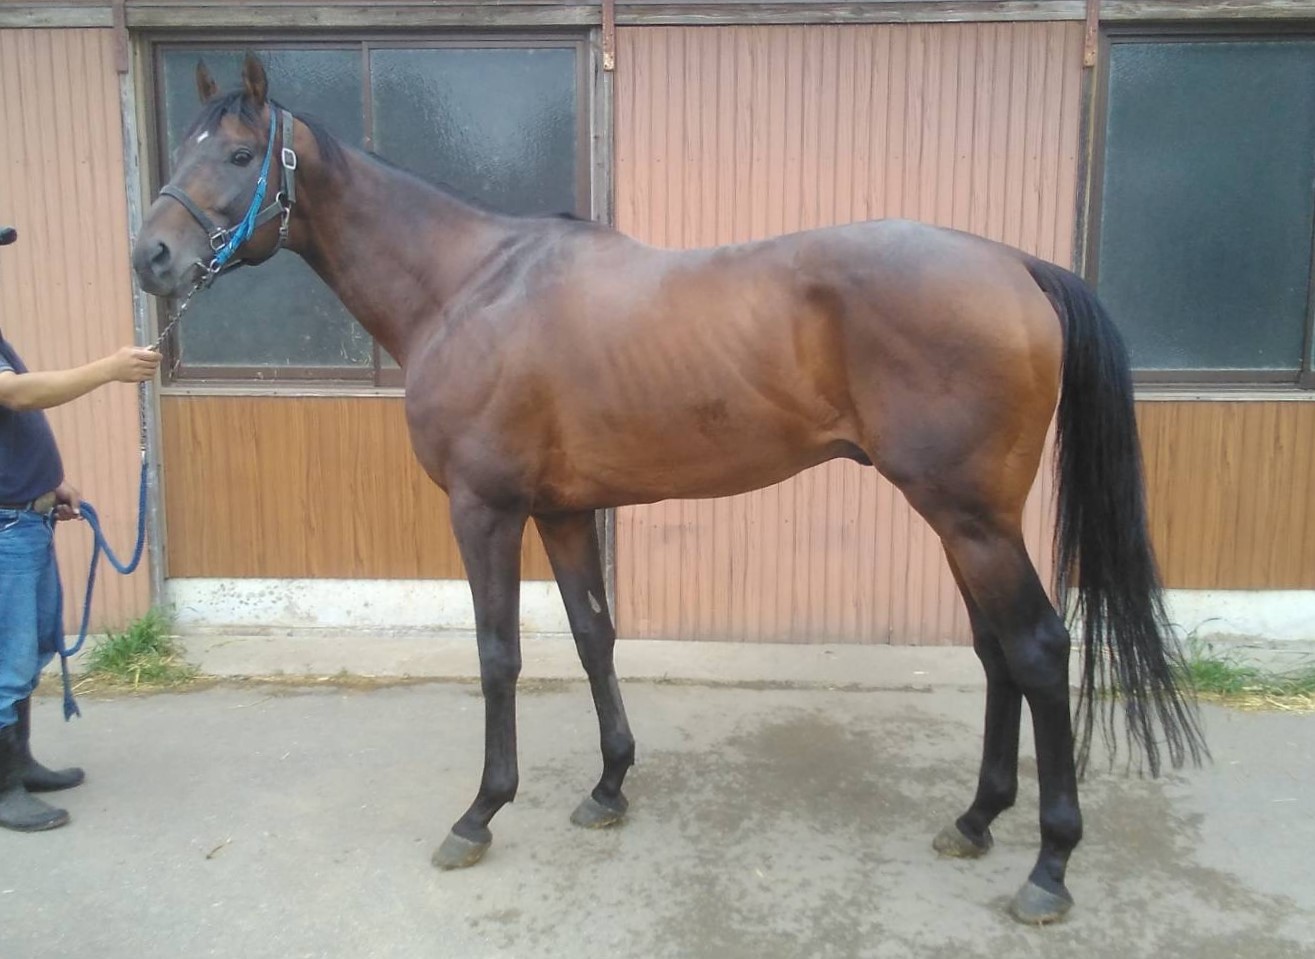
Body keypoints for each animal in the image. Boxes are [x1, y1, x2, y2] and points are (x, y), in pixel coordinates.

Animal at [131, 55, 1204, 925]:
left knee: (1037, 650)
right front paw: (609, 785)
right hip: (962, 521)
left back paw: (1048, 866)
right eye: (182, 146)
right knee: (995, 654)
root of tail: (1014, 265)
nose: (150, 256)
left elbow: (497, 655)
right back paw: (976, 818)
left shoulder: (485, 509)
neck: (468, 287)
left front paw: (480, 812)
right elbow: (593, 634)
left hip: (970, 517)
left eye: (238, 154)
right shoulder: (564, 510)